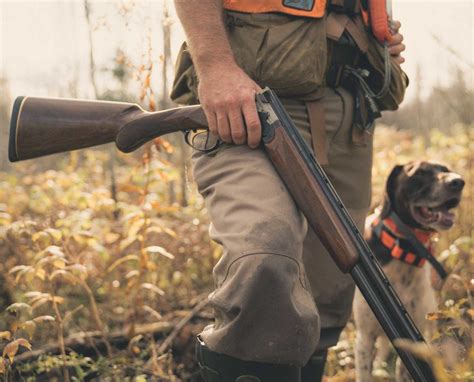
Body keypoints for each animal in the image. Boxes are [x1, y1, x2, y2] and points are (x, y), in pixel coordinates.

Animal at [354, 161, 464, 382]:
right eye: (419, 173)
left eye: (446, 170)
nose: (458, 182)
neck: (403, 252)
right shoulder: (364, 338)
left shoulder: (413, 343)